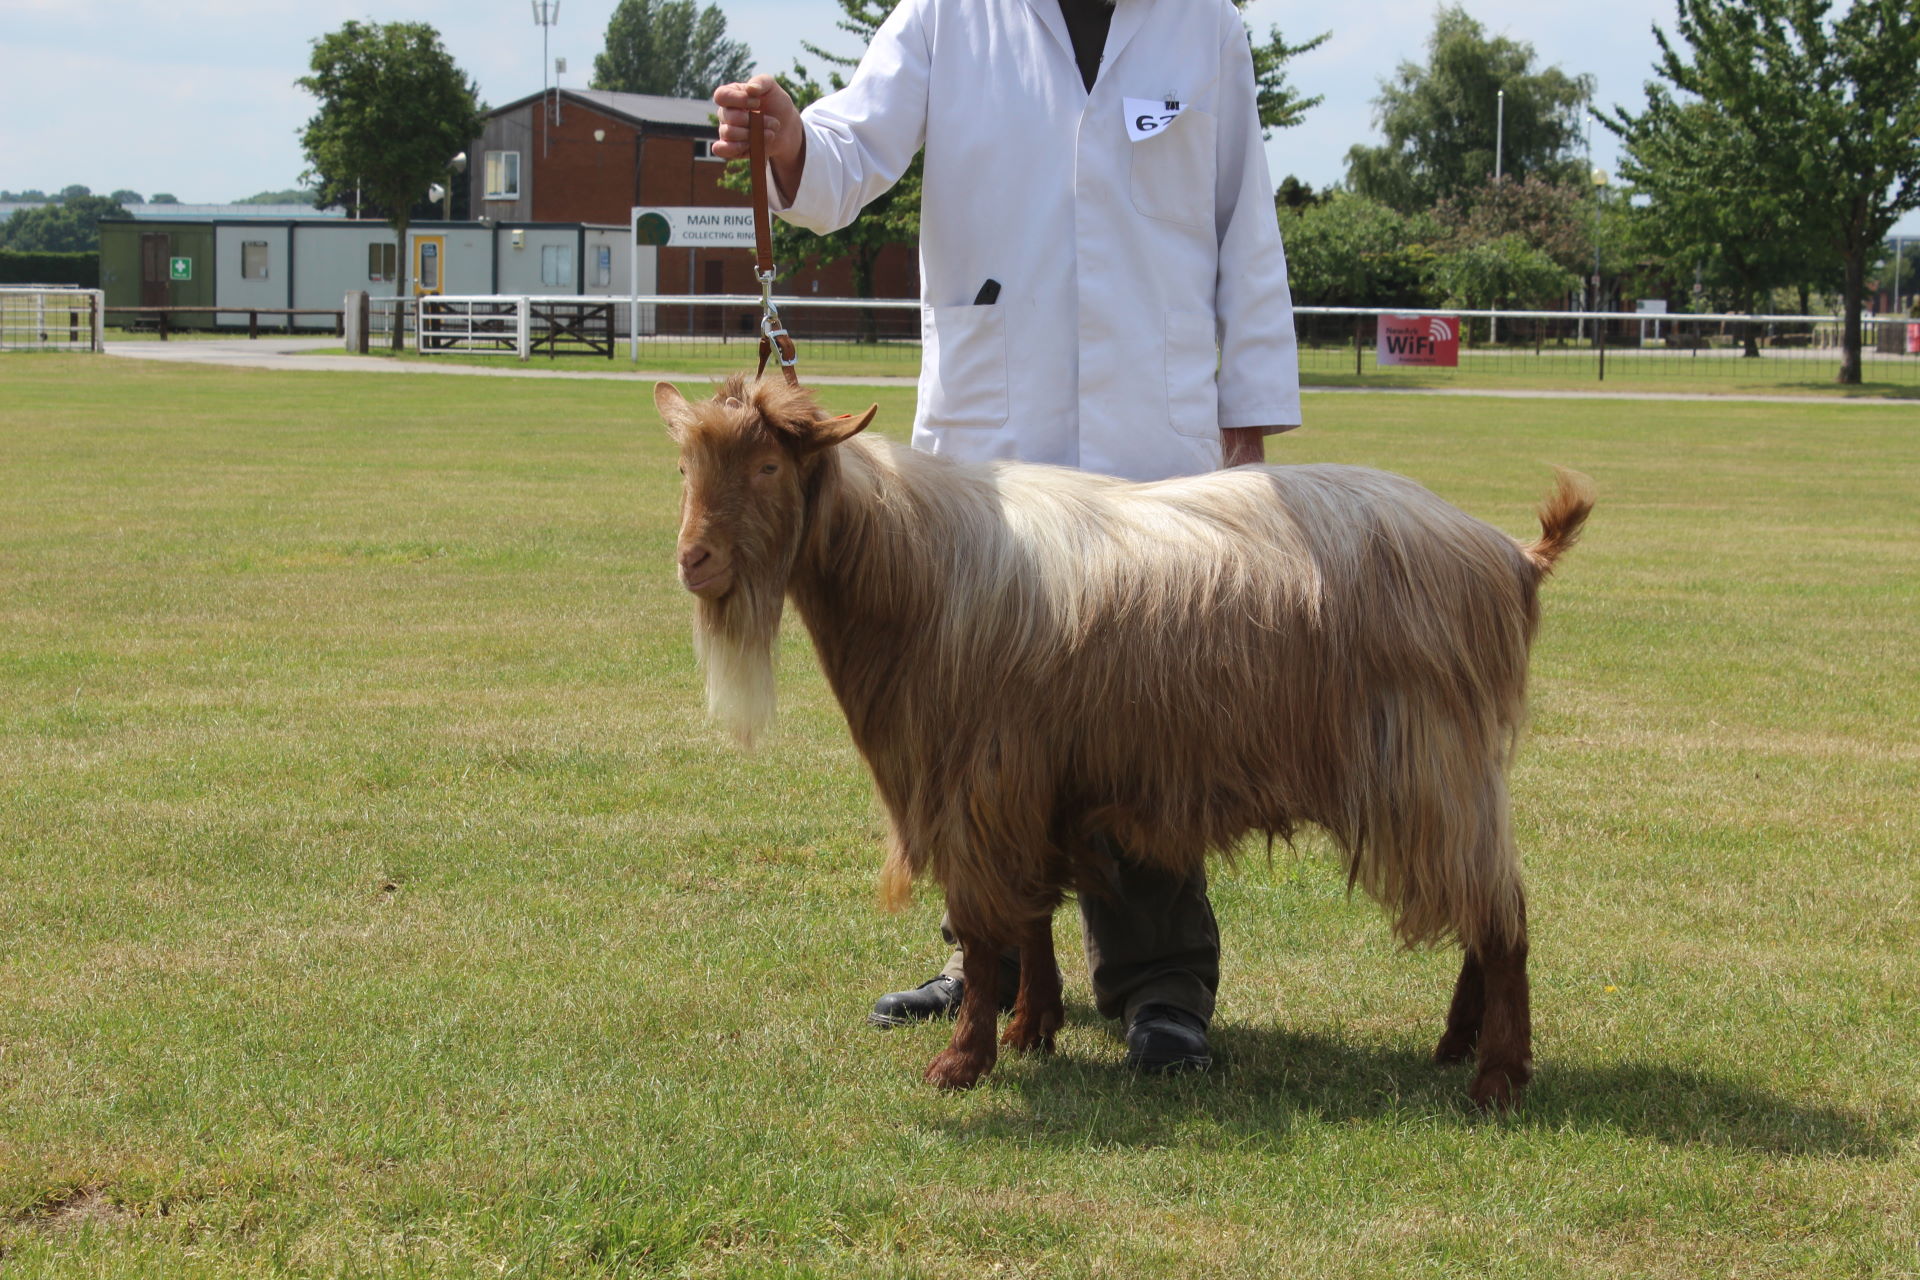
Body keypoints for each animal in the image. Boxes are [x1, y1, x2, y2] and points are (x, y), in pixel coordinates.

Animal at [656, 375, 1592, 1109]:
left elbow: (985, 925)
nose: (693, 562)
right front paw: (1032, 1028)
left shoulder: (976, 781)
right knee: (1486, 909)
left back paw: (1498, 1078)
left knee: (1503, 919)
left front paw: (962, 1063)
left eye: (768, 467)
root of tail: (1511, 555)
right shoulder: (1033, 782)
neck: (917, 569)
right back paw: (1458, 1045)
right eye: (685, 469)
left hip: (1432, 765)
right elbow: (1029, 917)